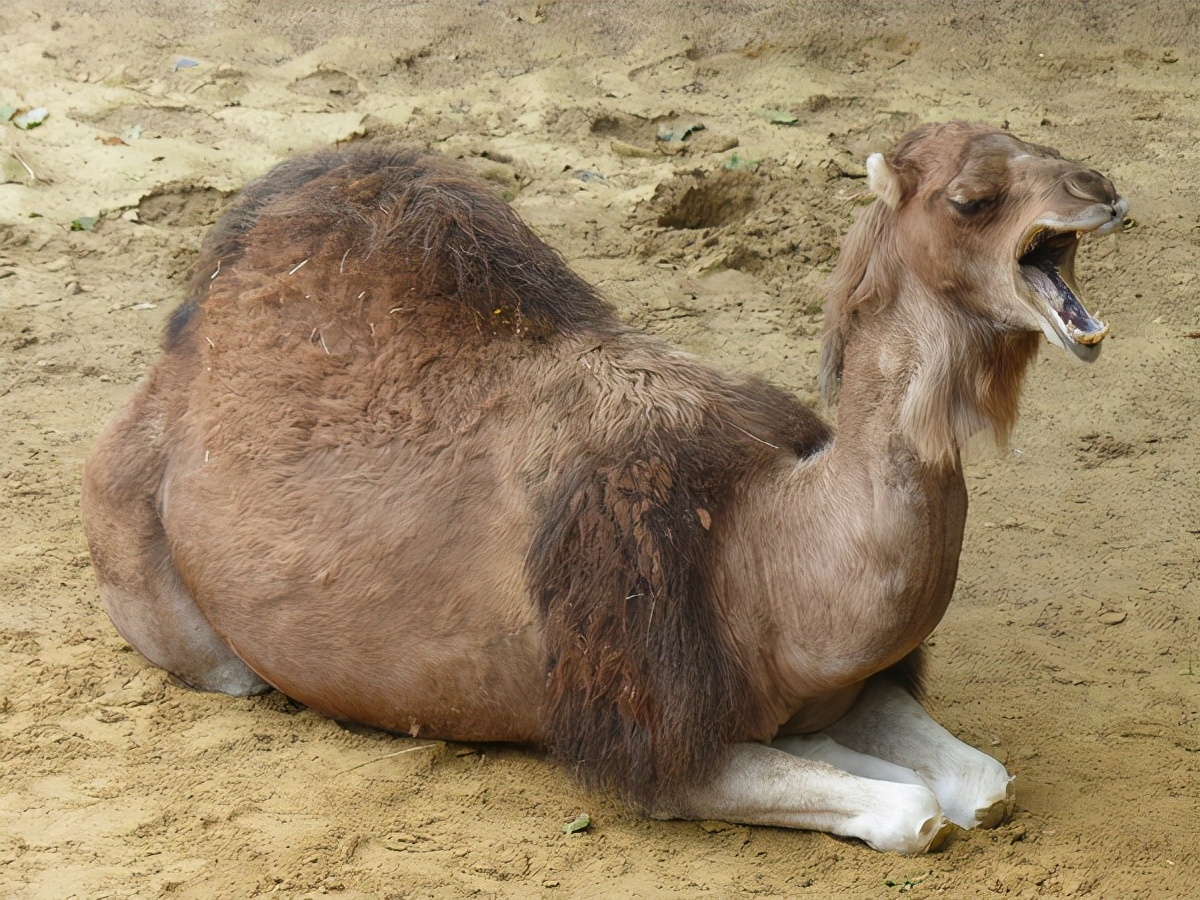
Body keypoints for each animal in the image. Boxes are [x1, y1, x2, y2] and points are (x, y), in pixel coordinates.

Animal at [82, 121, 1126, 854]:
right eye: (972, 198)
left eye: (1038, 144)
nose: (1103, 188)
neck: (767, 547)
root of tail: (172, 364)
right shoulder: (649, 739)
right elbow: (912, 811)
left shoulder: (845, 680)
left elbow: (985, 786)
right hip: (170, 596)